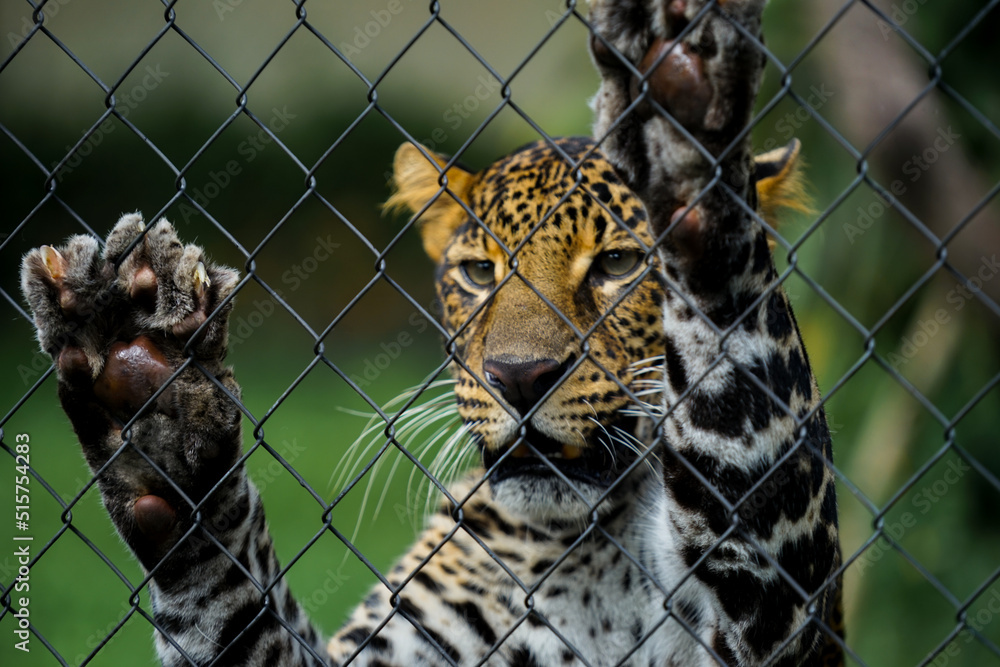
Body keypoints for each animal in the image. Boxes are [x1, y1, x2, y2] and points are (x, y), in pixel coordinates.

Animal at [19, 0, 843, 665]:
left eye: (618, 263)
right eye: (479, 273)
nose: (518, 376)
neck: (588, 543)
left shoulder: (775, 613)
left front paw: (683, 123)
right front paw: (152, 401)